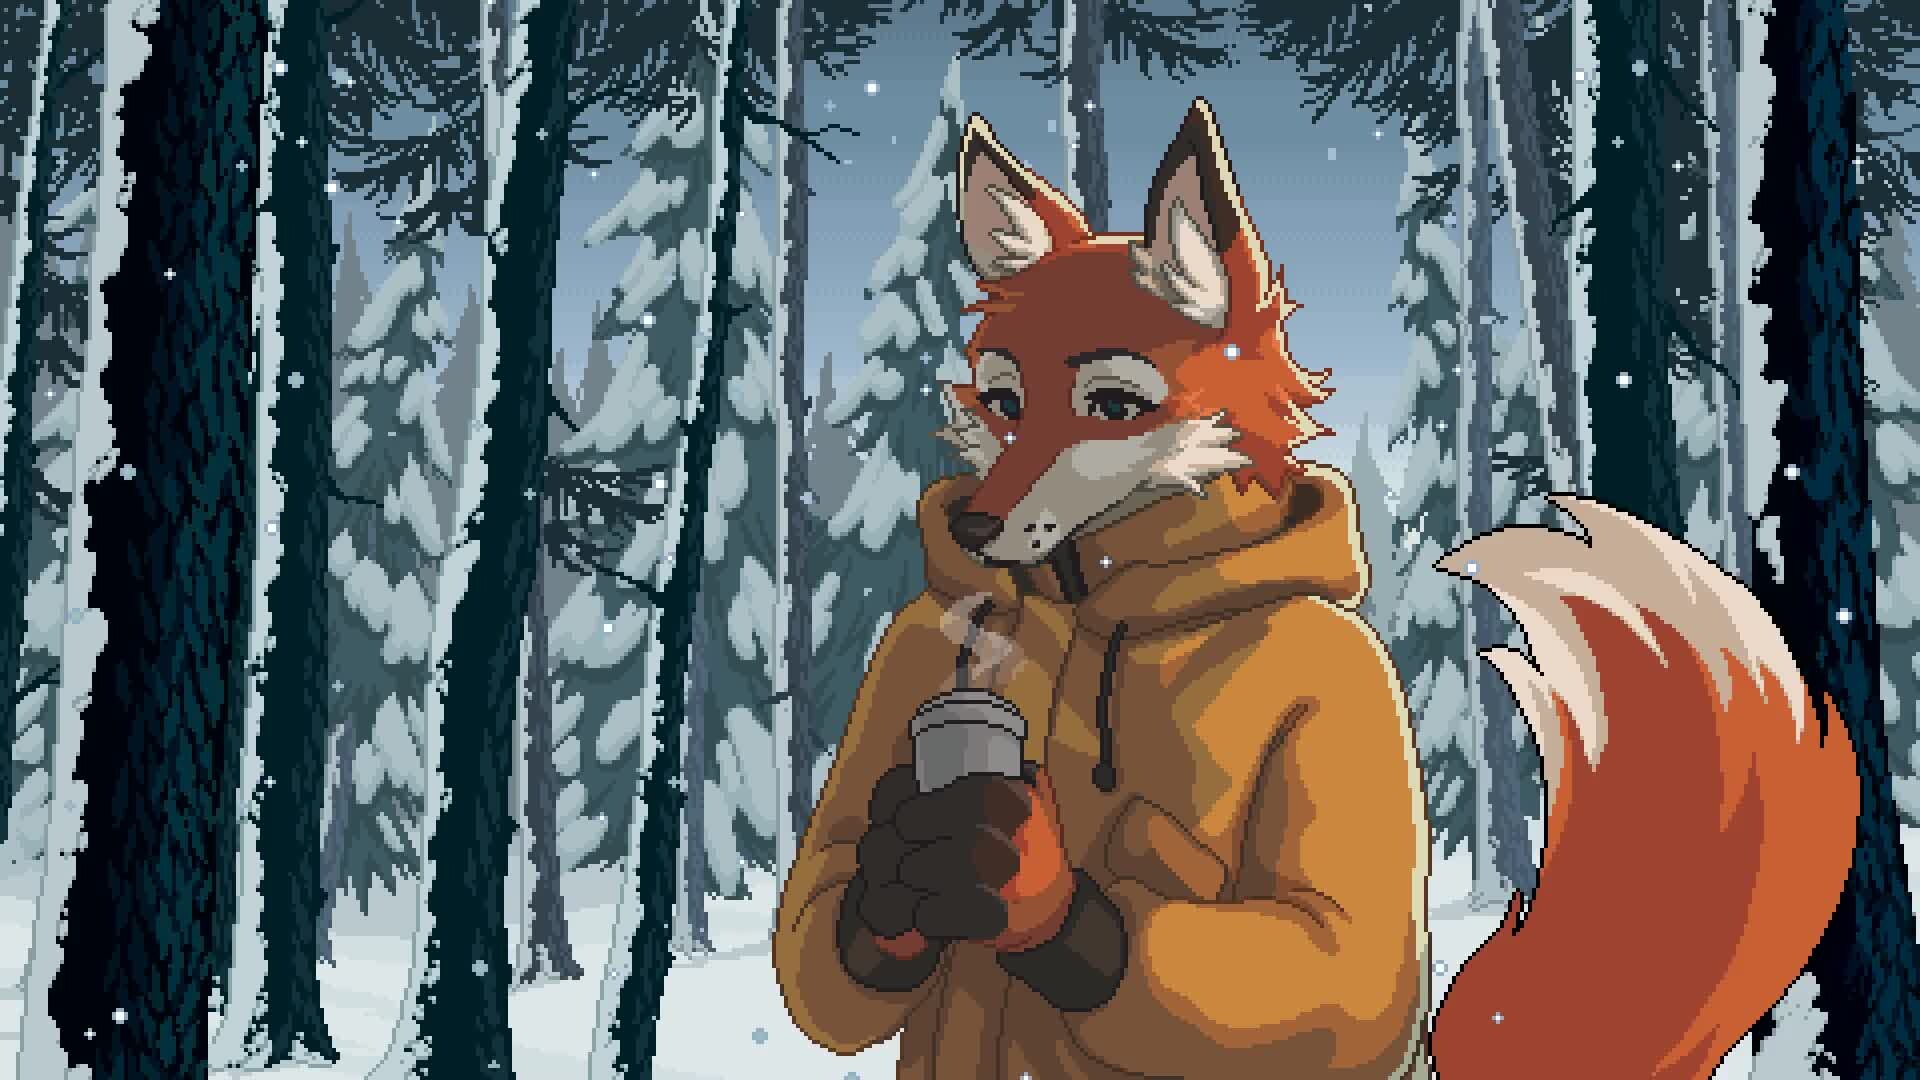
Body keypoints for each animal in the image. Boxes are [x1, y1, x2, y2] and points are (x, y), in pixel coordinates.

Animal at [772, 96, 1860, 1079]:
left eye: (1113, 406)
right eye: (1002, 400)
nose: (972, 527)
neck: (1100, 597)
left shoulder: (1356, 699)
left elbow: (1343, 961)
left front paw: (1022, 881)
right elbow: (820, 912)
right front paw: (897, 871)